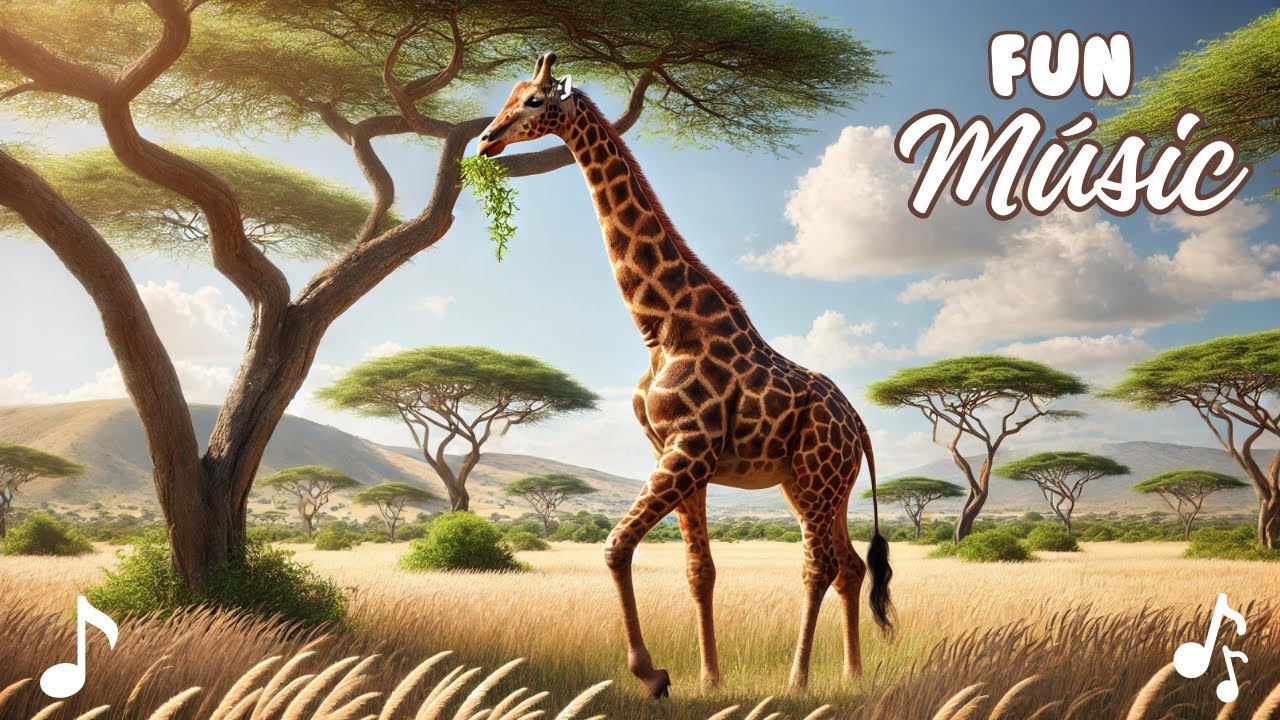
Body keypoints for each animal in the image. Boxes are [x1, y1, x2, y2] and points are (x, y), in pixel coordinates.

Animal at [478, 53, 894, 698]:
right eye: (509, 95)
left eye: (534, 101)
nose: (486, 140)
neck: (661, 325)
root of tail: (860, 427)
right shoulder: (674, 454)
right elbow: (700, 570)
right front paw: (709, 679)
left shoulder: (689, 449)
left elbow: (615, 546)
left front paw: (652, 674)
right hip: (816, 484)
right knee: (848, 563)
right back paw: (850, 674)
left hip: (817, 477)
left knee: (819, 564)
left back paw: (799, 681)